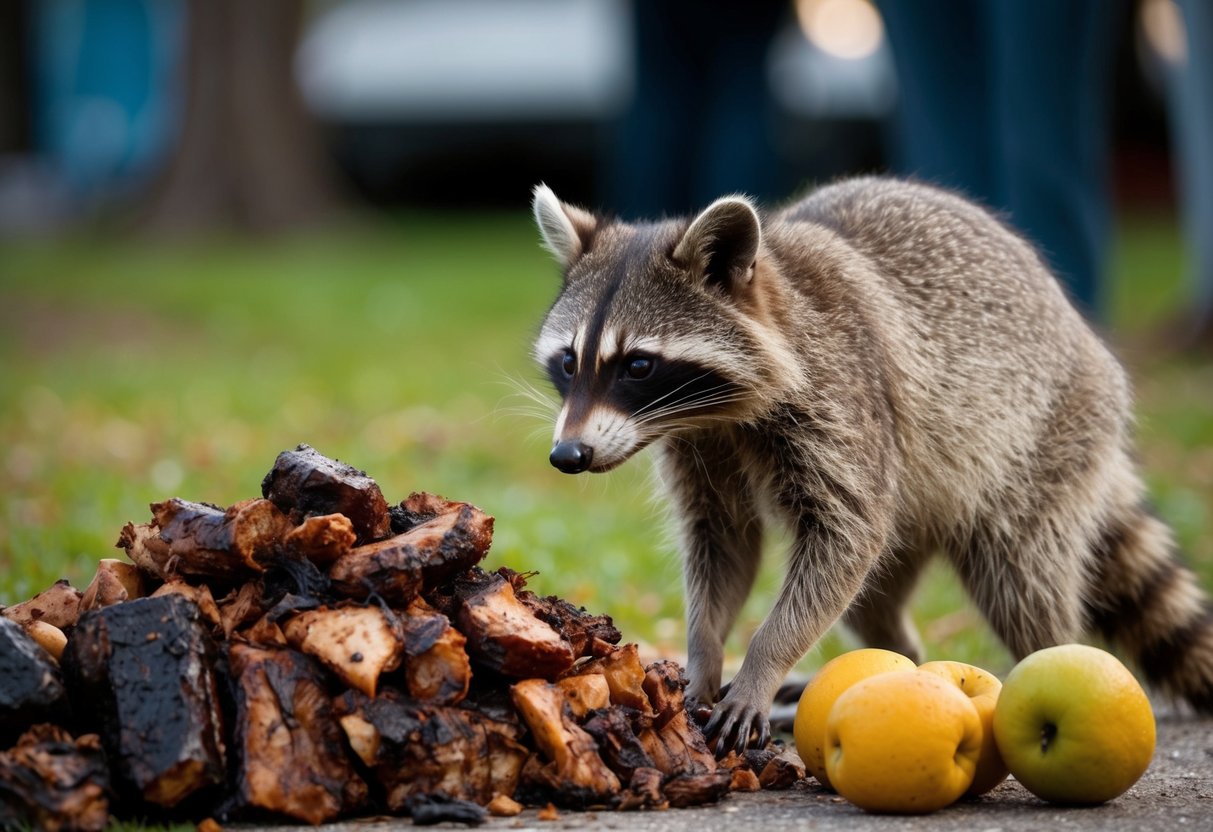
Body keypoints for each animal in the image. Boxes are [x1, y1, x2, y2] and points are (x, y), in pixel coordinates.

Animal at [530, 177, 1213, 754]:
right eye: (568, 361)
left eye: (638, 365)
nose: (567, 456)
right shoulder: (701, 450)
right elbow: (724, 548)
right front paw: (703, 658)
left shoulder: (847, 398)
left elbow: (844, 536)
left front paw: (761, 662)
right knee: (869, 600)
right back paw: (903, 665)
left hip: (1044, 443)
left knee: (1018, 580)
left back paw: (1042, 658)